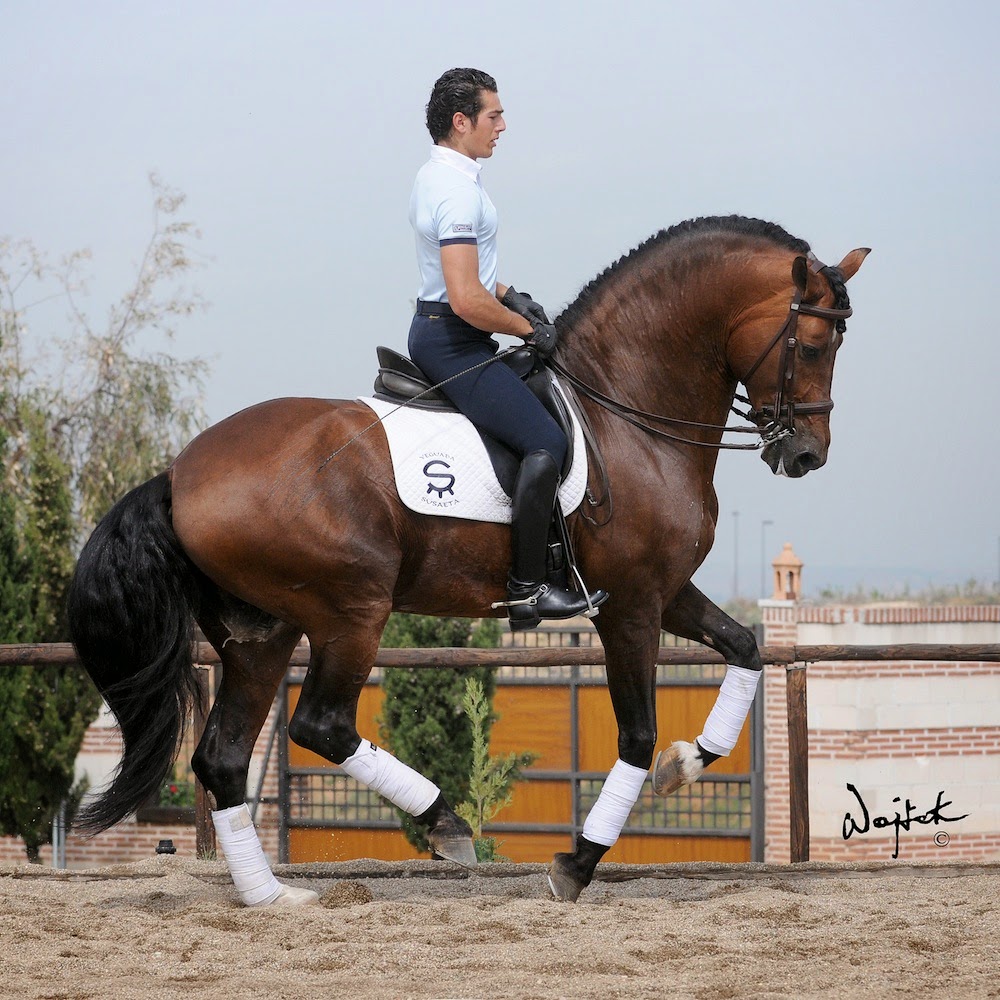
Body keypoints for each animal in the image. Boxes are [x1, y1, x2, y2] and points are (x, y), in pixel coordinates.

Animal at [68, 215, 868, 905]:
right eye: (813, 345)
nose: (807, 454)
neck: (627, 412)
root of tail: (177, 474)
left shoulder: (665, 591)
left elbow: (746, 648)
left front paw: (689, 762)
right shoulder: (631, 606)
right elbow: (637, 735)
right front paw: (577, 864)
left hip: (260, 631)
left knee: (225, 756)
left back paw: (274, 897)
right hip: (352, 610)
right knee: (319, 725)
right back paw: (444, 823)